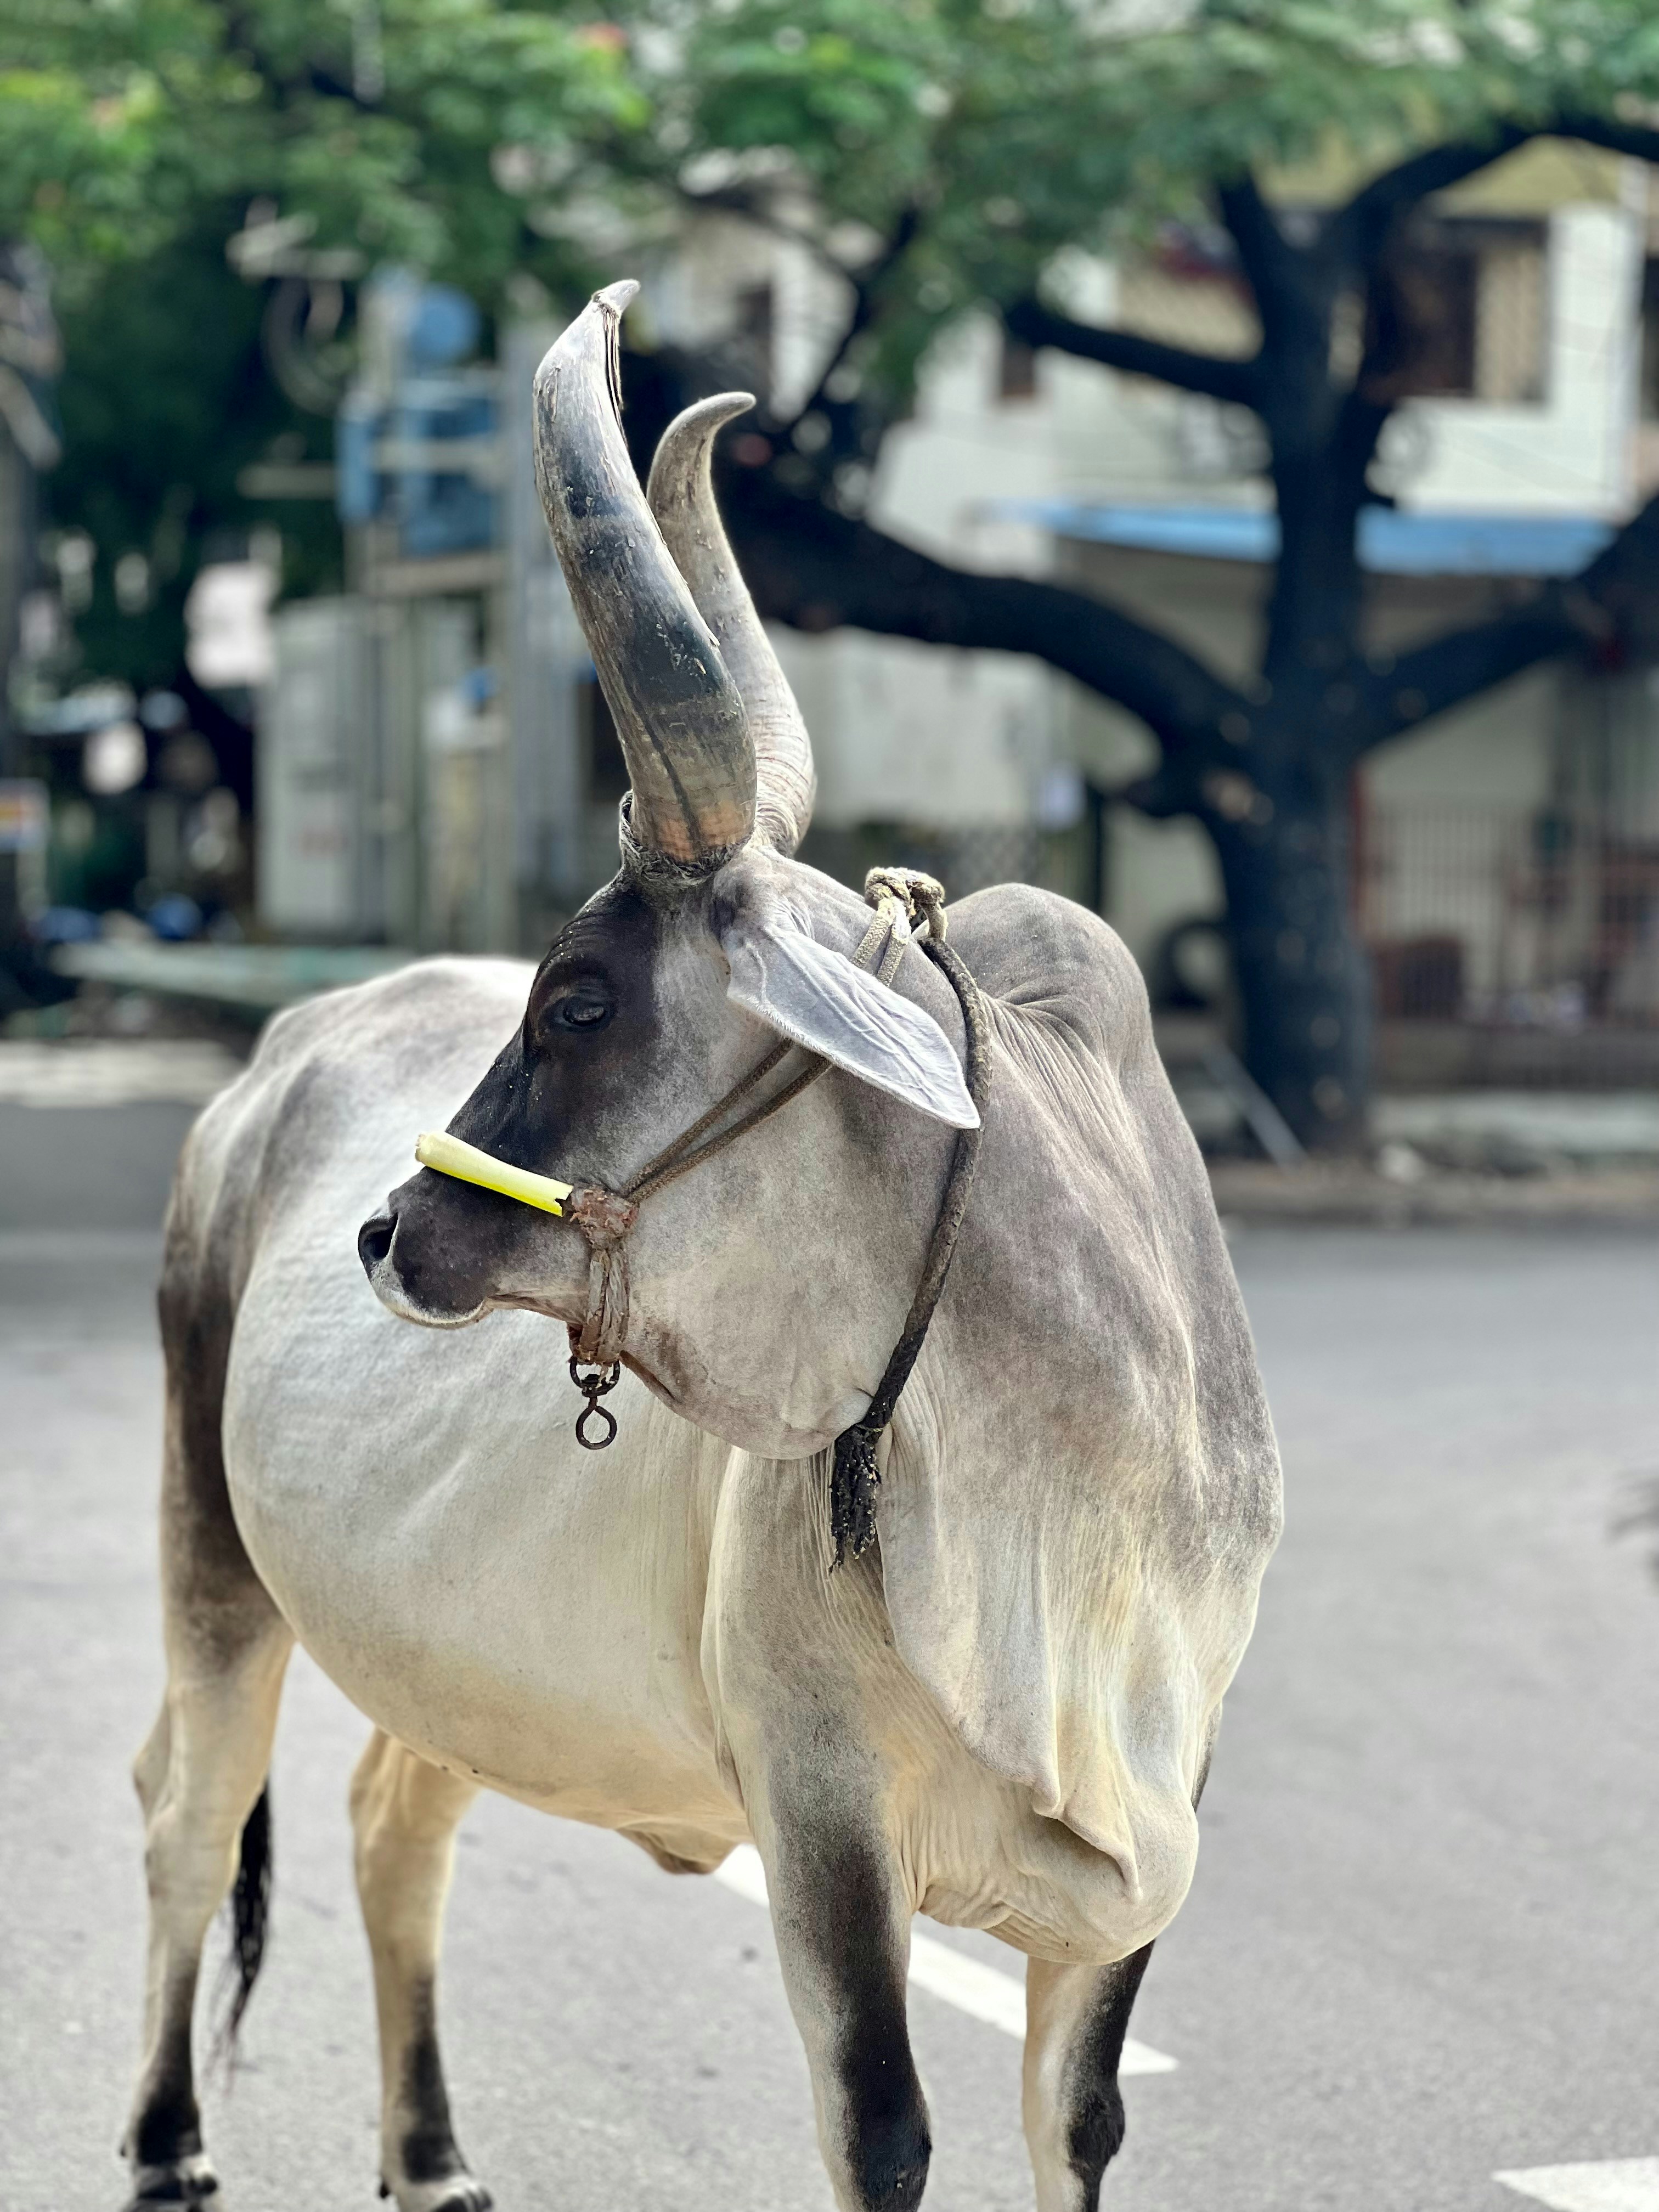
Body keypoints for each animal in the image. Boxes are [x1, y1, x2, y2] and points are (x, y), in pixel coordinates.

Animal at [121, 280, 1281, 2212]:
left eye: (582, 997)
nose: (393, 1229)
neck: (1058, 1497)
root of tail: (283, 1051)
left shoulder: (1150, 1834)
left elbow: (1082, 2124)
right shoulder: (822, 1817)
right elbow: (884, 2131)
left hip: (453, 1655)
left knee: (388, 1825)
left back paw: (431, 2156)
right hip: (209, 1552)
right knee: (189, 1817)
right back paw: (161, 2146)